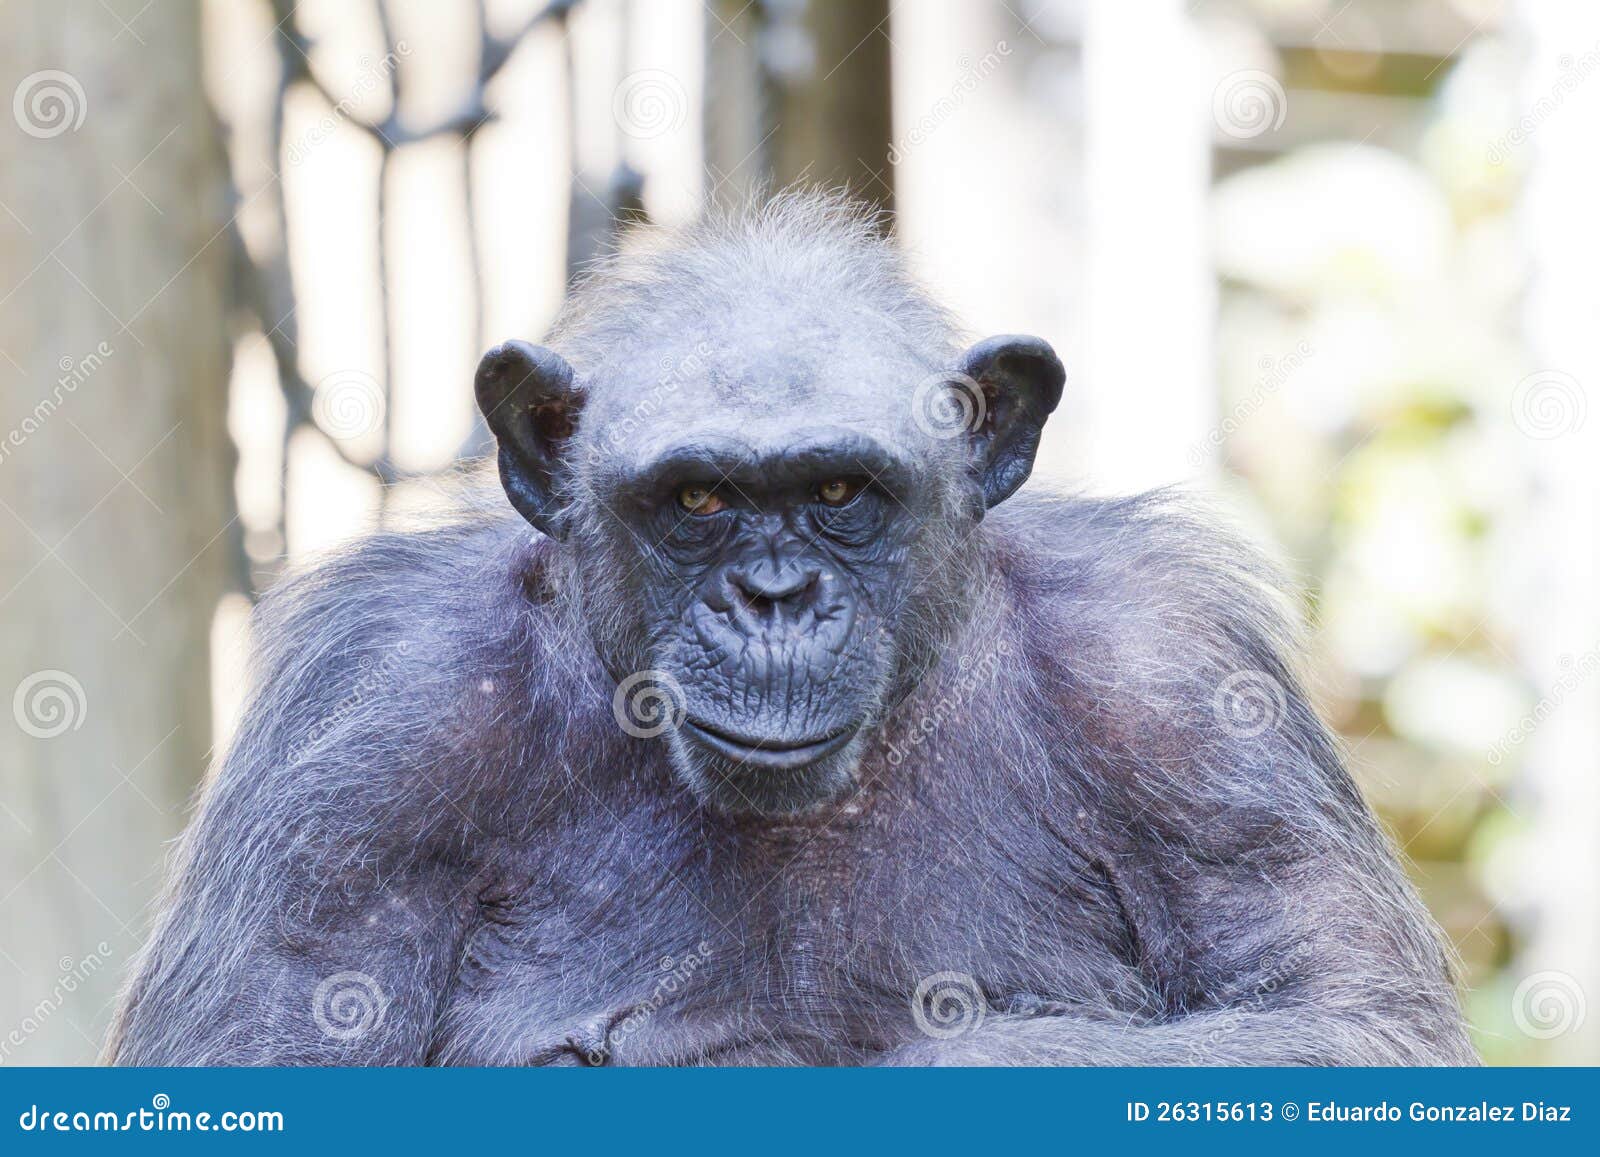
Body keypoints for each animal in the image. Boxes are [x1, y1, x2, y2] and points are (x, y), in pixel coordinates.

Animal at [107, 194, 1476, 1066]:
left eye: (839, 491)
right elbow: (257, 1047)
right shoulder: (369, 721)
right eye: (698, 501)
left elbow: (1349, 1015)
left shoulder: (1176, 676)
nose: (773, 597)